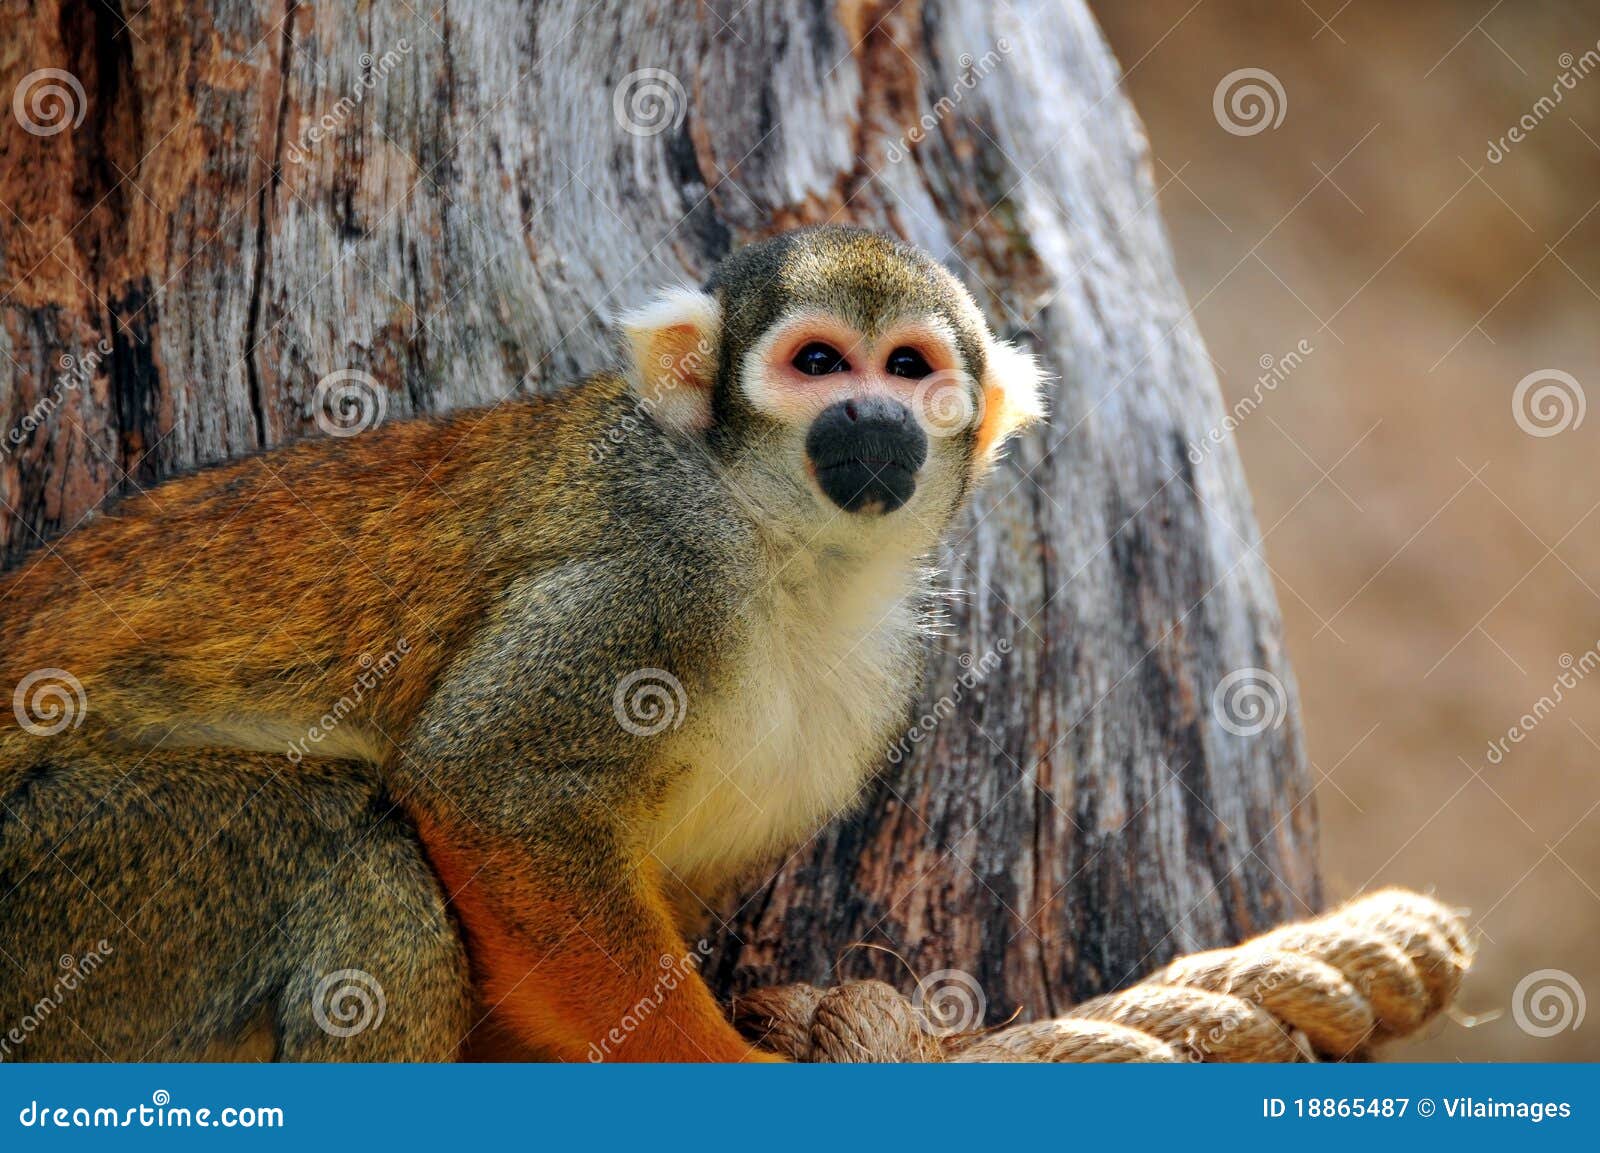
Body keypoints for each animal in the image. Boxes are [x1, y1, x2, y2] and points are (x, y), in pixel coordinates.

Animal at [0, 226, 1044, 1062]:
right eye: (819, 361)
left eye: (907, 368)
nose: (874, 413)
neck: (782, 548)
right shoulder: (648, 578)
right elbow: (488, 792)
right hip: (52, 880)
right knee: (342, 844)